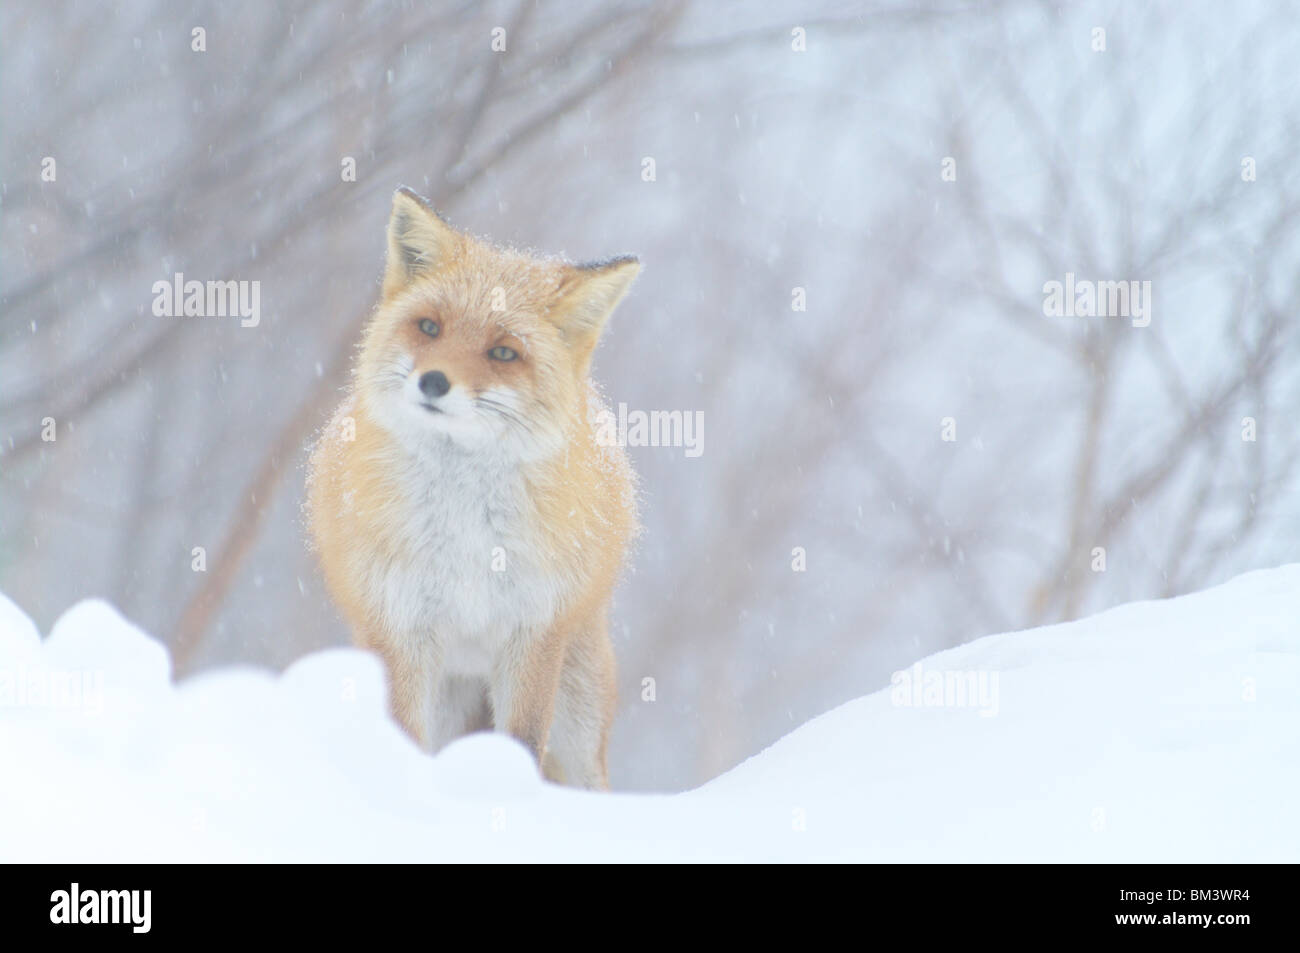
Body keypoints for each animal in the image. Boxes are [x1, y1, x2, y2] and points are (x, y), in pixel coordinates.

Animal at [306, 187, 640, 789]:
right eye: (430, 328)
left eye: (503, 352)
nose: (433, 381)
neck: (464, 531)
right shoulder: (402, 629)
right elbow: (405, 740)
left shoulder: (532, 633)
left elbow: (523, 744)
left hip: (577, 707)